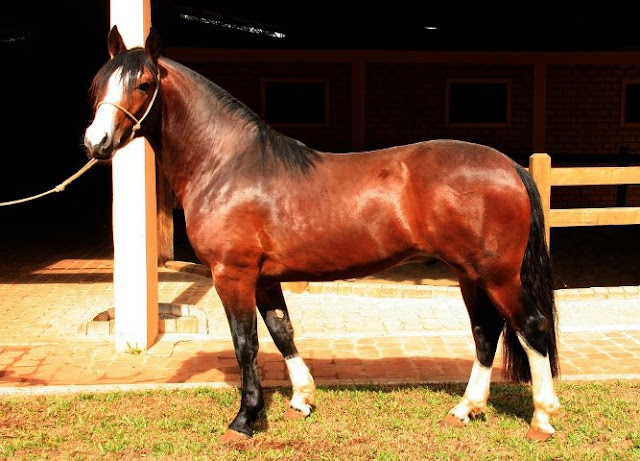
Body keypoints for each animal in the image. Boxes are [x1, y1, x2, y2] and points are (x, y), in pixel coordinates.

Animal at [84, 26, 560, 442]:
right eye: (97, 84)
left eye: (144, 84)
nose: (96, 142)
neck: (226, 166)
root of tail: (509, 166)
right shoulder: (264, 278)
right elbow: (282, 332)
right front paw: (302, 399)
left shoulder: (232, 274)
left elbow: (245, 343)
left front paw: (245, 420)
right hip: (469, 274)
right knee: (486, 332)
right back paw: (465, 409)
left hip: (497, 276)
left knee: (532, 327)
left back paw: (542, 419)